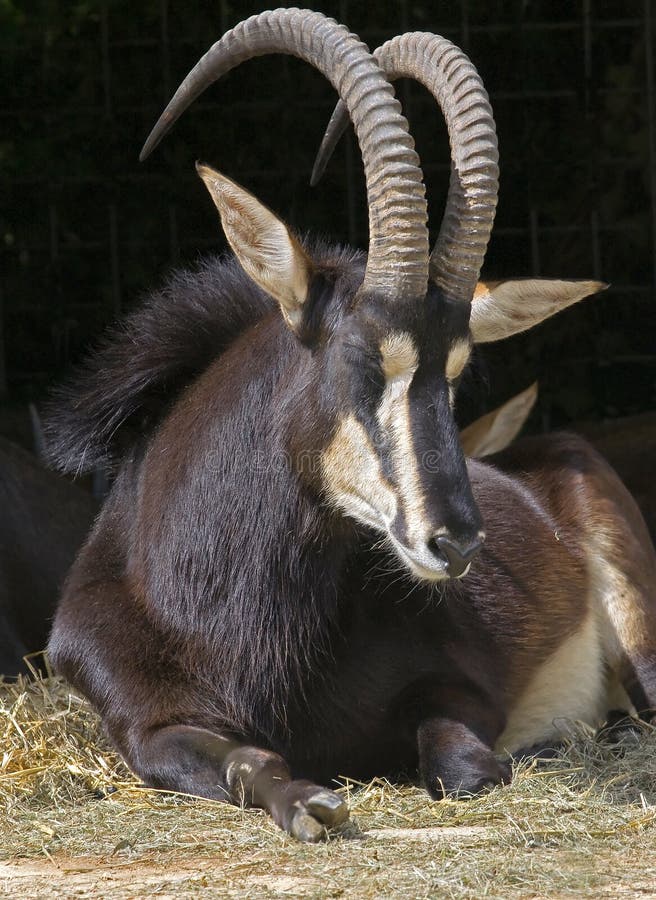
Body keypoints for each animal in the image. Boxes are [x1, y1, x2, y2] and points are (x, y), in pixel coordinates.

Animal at [45, 12, 656, 842]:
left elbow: (463, 765)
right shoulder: (146, 726)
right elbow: (246, 761)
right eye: (365, 359)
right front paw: (308, 802)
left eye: (454, 374)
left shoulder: (460, 686)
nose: (456, 544)